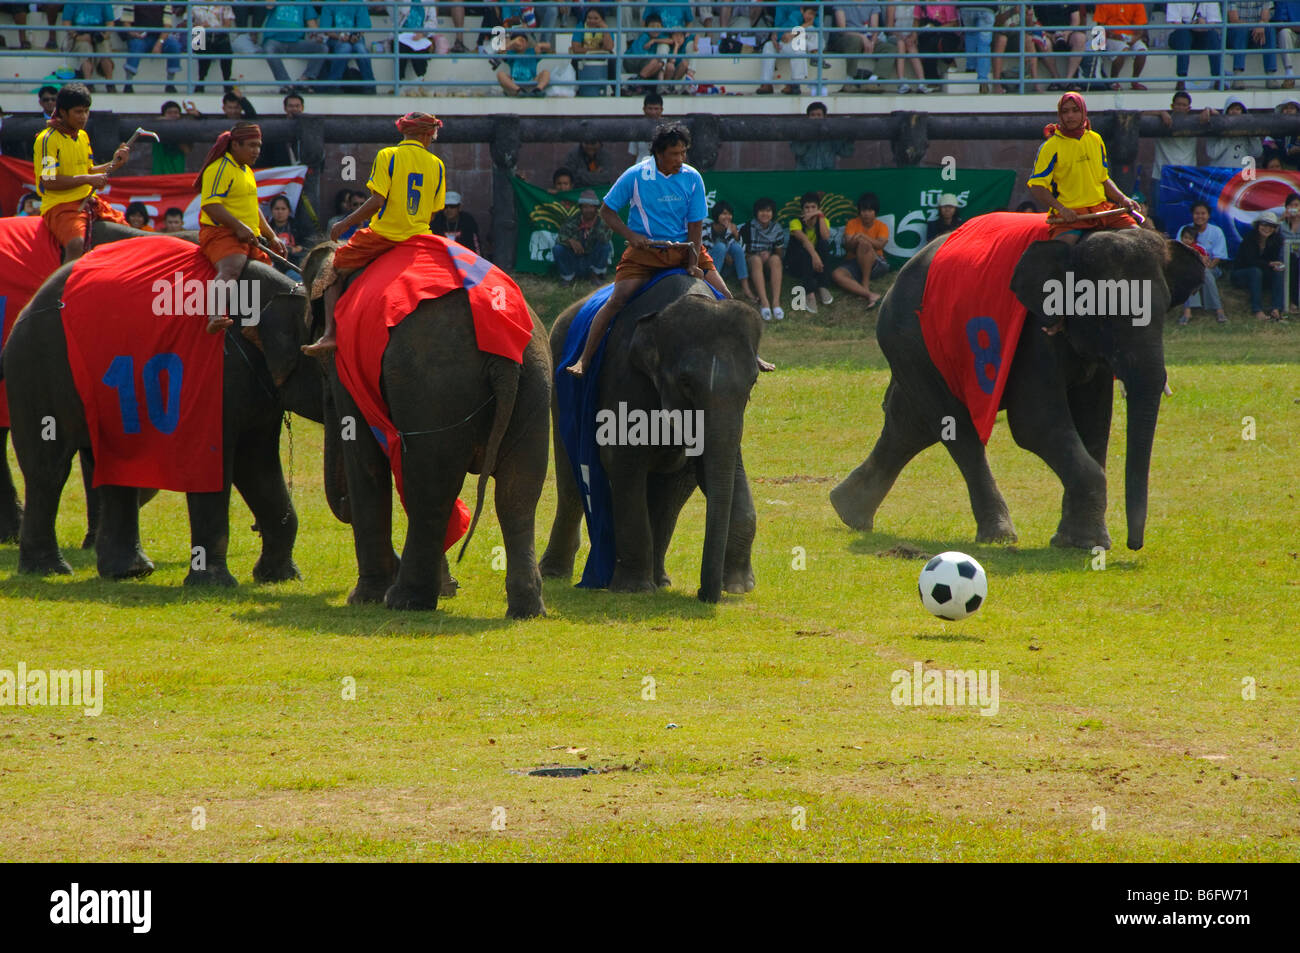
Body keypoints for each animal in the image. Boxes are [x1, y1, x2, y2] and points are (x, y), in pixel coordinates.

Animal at [4, 246, 323, 584]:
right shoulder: (213, 380)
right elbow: (214, 464)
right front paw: (216, 585)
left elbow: (258, 466)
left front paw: (281, 578)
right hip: (37, 366)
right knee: (48, 468)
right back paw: (51, 569)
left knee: (112, 466)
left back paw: (129, 571)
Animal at [301, 244, 553, 619]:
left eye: (320, 365)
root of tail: (501, 358)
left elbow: (363, 454)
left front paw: (363, 597)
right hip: (536, 381)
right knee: (518, 493)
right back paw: (526, 610)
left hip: (433, 387)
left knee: (432, 488)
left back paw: (404, 600)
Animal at [539, 273, 762, 603]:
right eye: (686, 382)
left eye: (753, 382)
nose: (703, 592)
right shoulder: (624, 376)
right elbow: (622, 458)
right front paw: (633, 589)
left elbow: (718, 468)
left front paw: (738, 586)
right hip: (560, 386)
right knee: (572, 484)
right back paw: (555, 573)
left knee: (671, 491)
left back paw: (661, 580)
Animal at [830, 226, 1203, 552]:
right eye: (1109, 313)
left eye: (1164, 309)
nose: (1134, 545)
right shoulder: (1031, 333)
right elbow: (1036, 424)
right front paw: (1087, 543)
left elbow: (1095, 423)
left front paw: (1074, 541)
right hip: (911, 338)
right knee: (956, 429)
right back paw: (999, 535)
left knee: (910, 422)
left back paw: (848, 511)